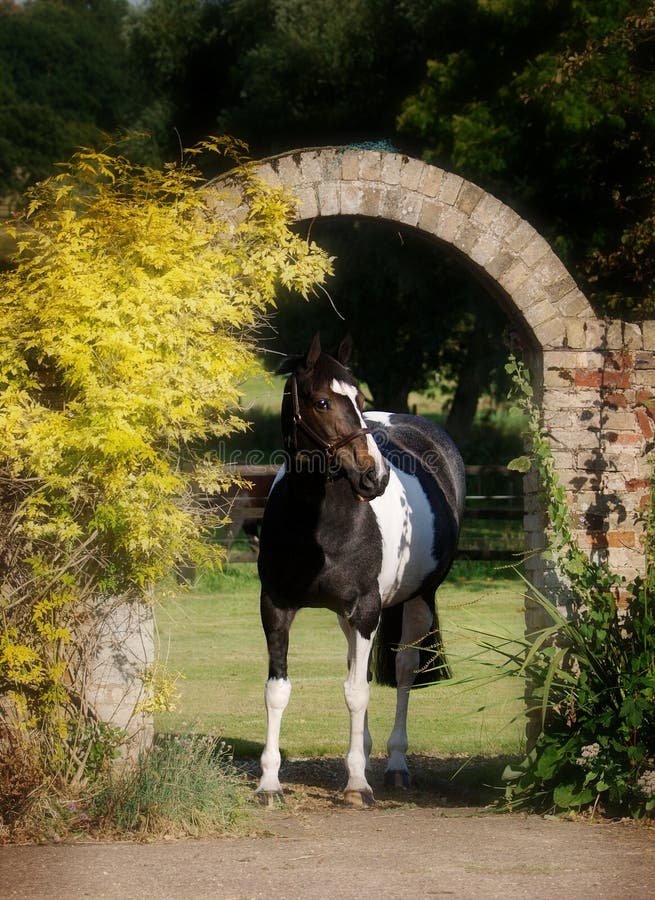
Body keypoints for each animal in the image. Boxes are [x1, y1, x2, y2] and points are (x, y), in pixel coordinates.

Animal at [256, 334, 465, 807]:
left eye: (358, 398)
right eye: (321, 401)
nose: (376, 477)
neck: (321, 527)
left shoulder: (367, 609)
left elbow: (357, 692)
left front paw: (356, 785)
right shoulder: (276, 608)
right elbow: (279, 691)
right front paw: (269, 782)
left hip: (417, 600)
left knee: (403, 671)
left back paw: (394, 764)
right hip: (348, 617)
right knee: (360, 665)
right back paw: (366, 754)